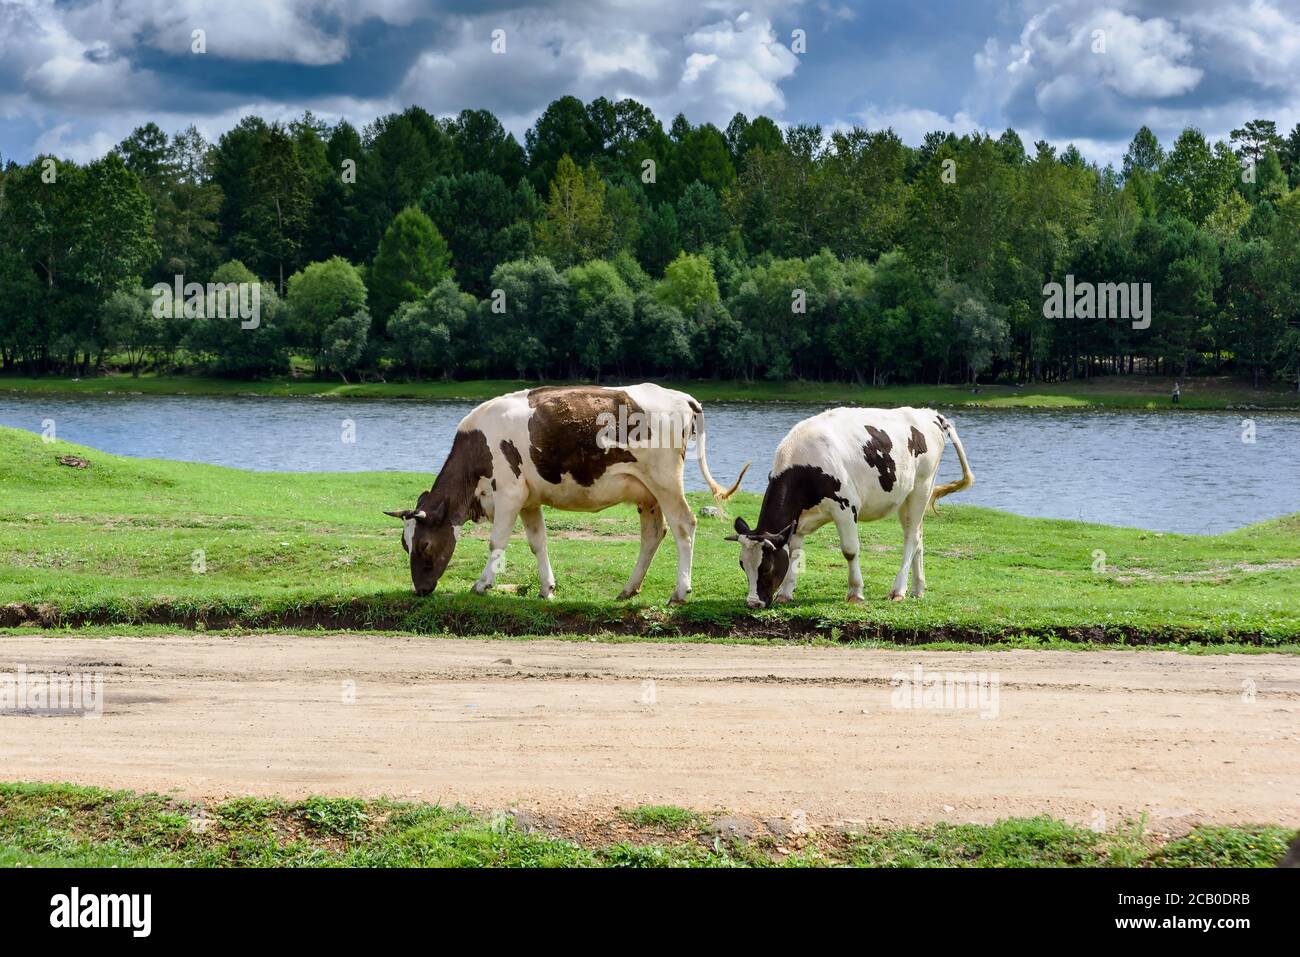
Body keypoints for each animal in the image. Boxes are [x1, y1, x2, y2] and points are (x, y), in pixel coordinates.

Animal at [385, 384, 748, 603]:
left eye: (424, 545)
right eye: (405, 544)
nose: (420, 590)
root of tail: (678, 395)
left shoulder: (509, 494)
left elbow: (497, 542)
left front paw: (482, 584)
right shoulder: (529, 500)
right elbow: (538, 542)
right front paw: (547, 589)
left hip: (666, 481)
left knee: (684, 526)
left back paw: (680, 591)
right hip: (647, 493)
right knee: (653, 534)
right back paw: (628, 589)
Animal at [726, 407, 974, 608]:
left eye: (766, 567)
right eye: (742, 565)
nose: (753, 603)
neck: (804, 465)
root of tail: (929, 413)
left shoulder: (845, 507)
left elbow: (849, 551)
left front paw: (855, 593)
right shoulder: (796, 520)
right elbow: (794, 552)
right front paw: (786, 594)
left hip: (922, 488)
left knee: (911, 539)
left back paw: (898, 590)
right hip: (905, 495)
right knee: (918, 536)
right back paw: (918, 589)